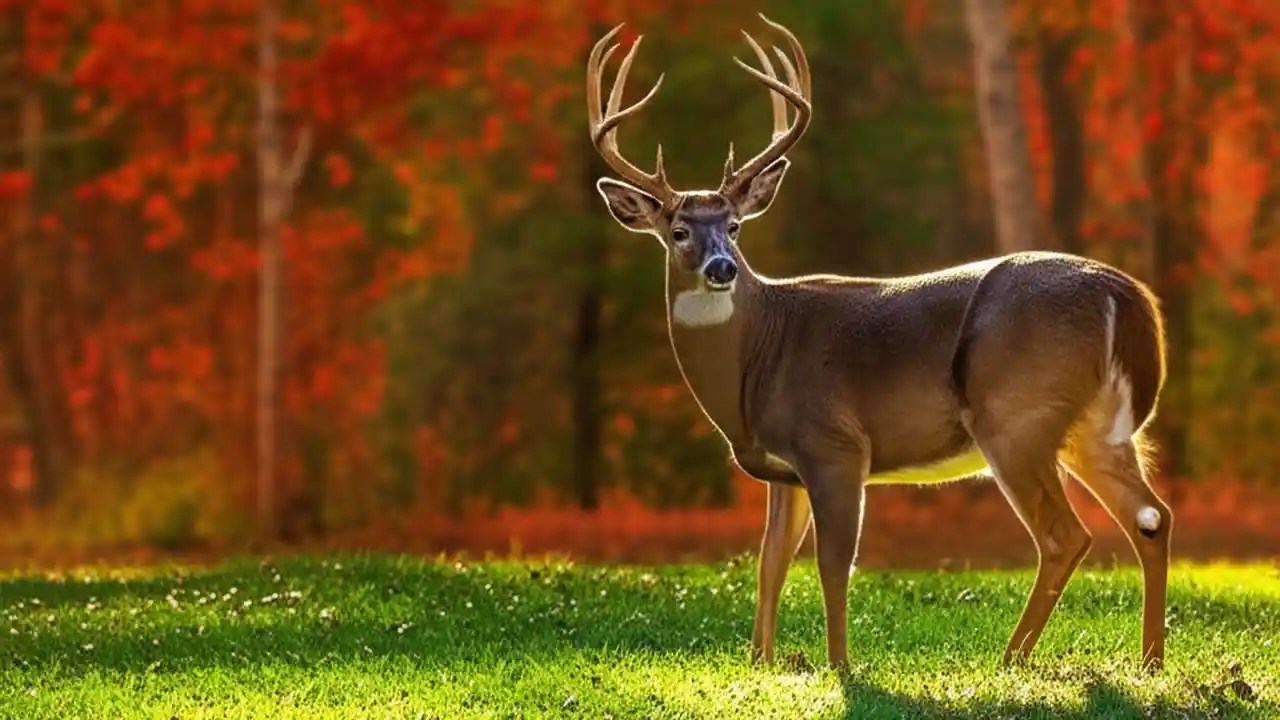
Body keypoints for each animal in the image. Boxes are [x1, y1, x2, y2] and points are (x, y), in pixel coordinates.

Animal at [586, 16, 1172, 671]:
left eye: (734, 227)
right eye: (679, 231)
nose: (722, 267)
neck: (755, 360)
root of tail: (1126, 294)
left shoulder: (836, 444)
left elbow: (833, 564)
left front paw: (839, 665)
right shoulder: (784, 471)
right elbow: (769, 564)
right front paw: (761, 661)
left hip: (1016, 418)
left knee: (1067, 535)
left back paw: (1012, 659)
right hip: (1094, 428)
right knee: (1151, 518)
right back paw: (1149, 662)